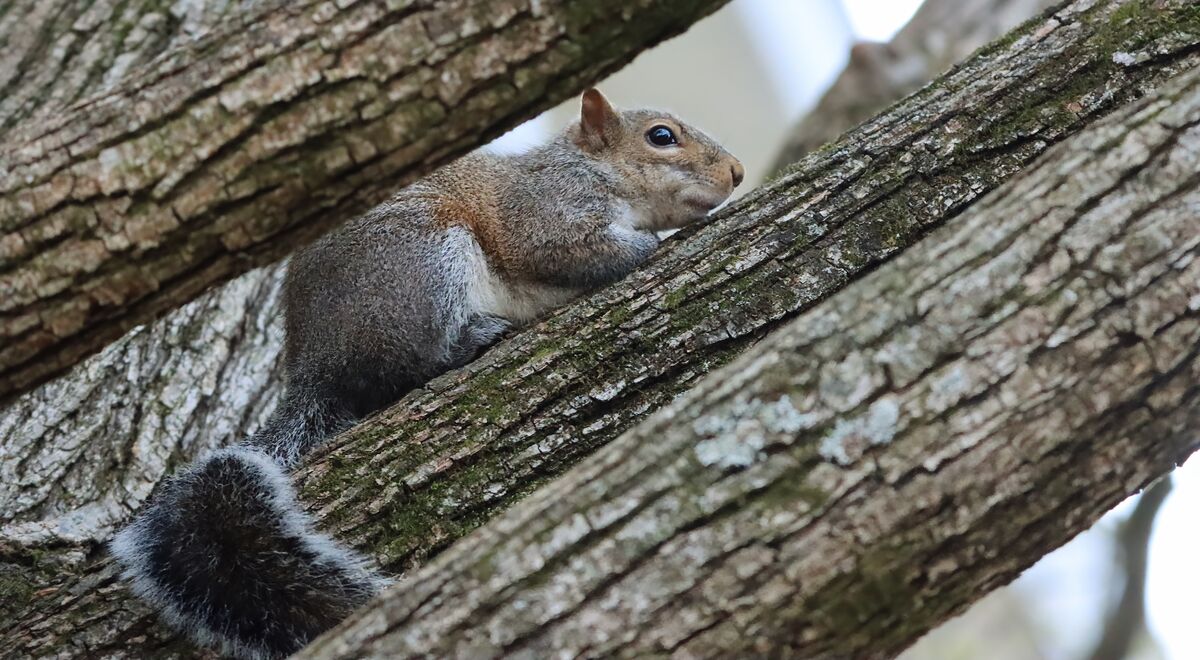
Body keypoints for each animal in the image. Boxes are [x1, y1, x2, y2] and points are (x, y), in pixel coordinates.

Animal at [111, 88, 743, 659]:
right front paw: (646, 244)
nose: (737, 172)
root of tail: (315, 368)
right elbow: (568, 251)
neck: (592, 169)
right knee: (406, 368)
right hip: (427, 259)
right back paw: (473, 340)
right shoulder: (546, 212)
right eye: (661, 136)